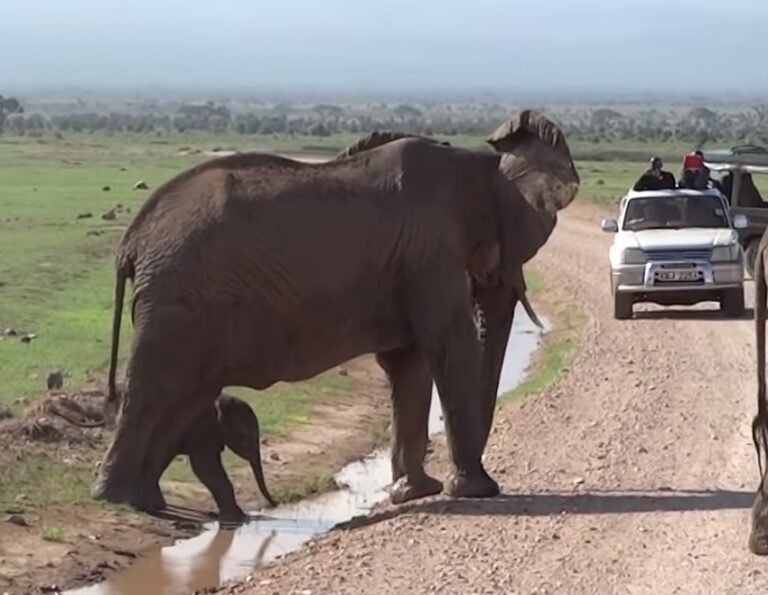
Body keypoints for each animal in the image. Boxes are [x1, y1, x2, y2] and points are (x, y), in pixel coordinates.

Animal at [92, 109, 579, 514]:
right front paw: (474, 492)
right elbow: (448, 347)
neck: (475, 162)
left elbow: (409, 363)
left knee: (182, 398)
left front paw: (415, 493)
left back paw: (142, 500)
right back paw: (117, 499)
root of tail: (130, 241)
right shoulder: (430, 255)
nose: (489, 484)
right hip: (177, 303)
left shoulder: (412, 264)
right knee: (156, 393)